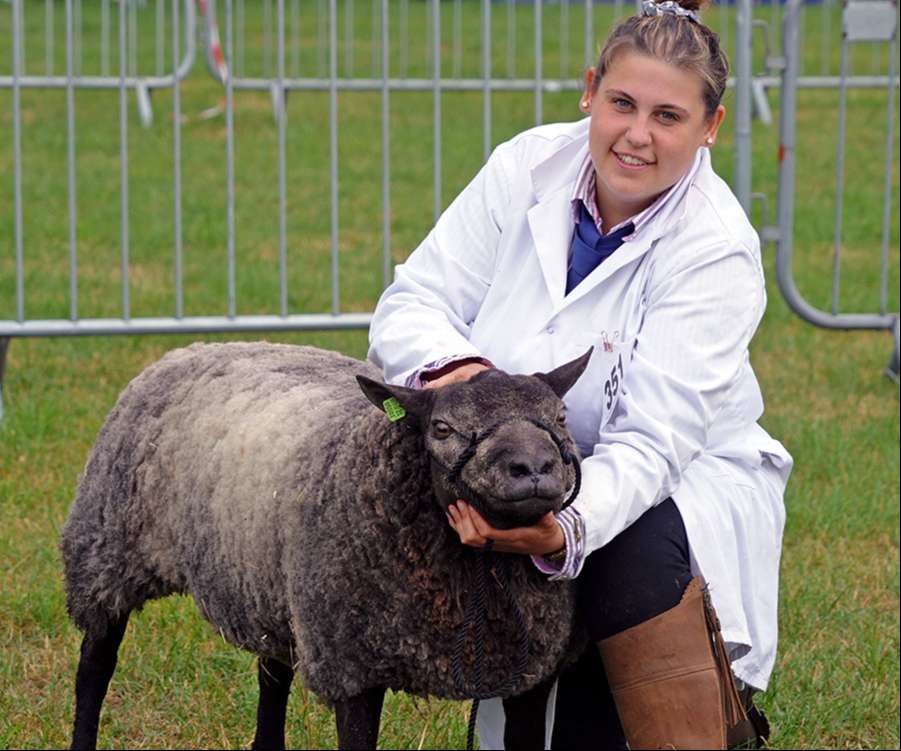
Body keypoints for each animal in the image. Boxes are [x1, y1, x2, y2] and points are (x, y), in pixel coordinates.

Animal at [61, 341, 591, 750]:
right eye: (442, 428)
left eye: (561, 416)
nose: (534, 468)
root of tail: (193, 347)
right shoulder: (352, 669)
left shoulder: (531, 676)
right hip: (105, 554)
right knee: (95, 667)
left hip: (271, 590)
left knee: (272, 679)